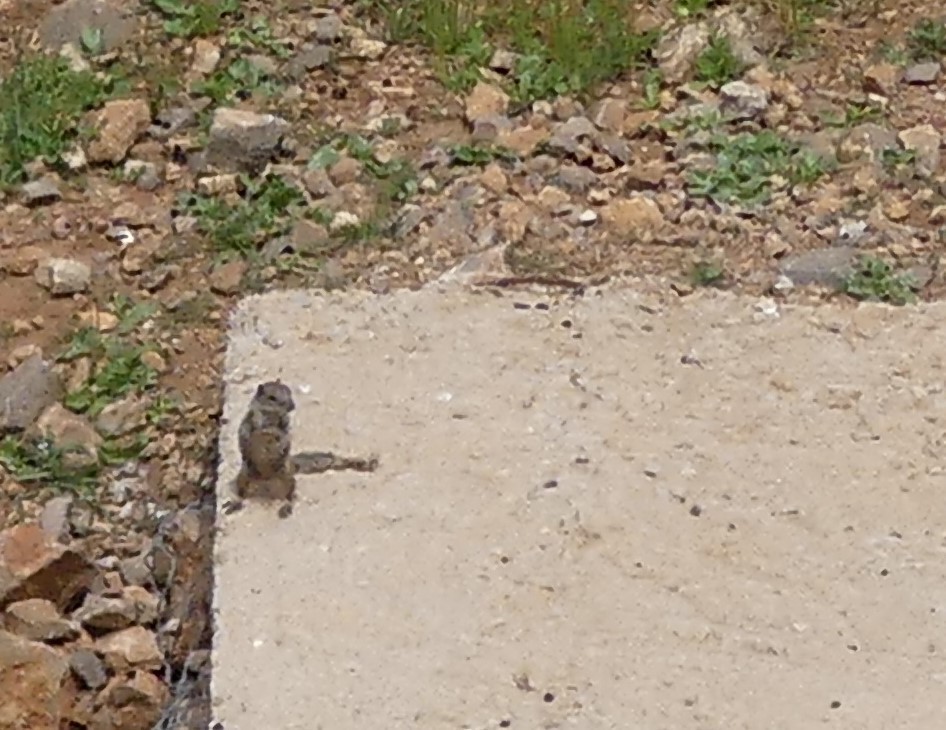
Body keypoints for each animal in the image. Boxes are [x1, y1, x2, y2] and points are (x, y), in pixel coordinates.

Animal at [234, 380, 379, 518]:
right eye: (272, 398)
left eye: (289, 391)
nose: (292, 406)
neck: (270, 419)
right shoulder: (249, 421)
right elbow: (244, 435)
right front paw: (245, 451)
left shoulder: (284, 428)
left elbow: (285, 439)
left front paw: (282, 451)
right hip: (243, 478)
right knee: (243, 495)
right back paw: (235, 504)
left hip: (288, 479)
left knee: (291, 496)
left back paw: (286, 508)